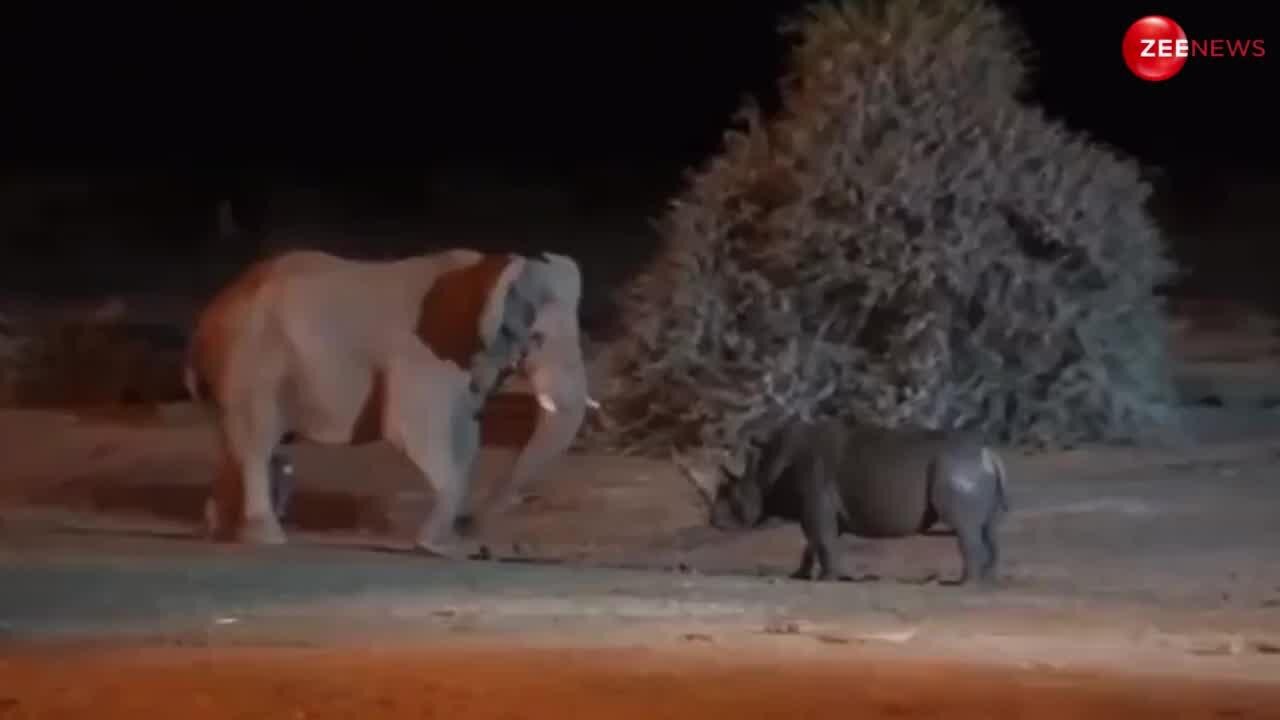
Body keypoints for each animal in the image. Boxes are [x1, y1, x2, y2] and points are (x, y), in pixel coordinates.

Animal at [184, 248, 587, 557]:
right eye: (537, 338)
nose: (478, 537)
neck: (493, 270)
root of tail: (209, 314)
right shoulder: (426, 352)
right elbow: (414, 432)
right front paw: (439, 548)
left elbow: (467, 437)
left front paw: (450, 543)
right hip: (252, 361)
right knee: (256, 442)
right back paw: (266, 539)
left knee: (242, 445)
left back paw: (220, 533)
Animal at [705, 418, 1010, 585]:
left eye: (732, 493)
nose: (715, 522)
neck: (769, 463)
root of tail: (989, 455)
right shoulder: (818, 507)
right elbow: (814, 542)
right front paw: (799, 576)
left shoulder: (816, 500)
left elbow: (821, 539)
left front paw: (827, 580)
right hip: (969, 470)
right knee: (989, 529)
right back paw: (988, 580)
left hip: (957, 469)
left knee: (965, 529)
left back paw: (963, 585)